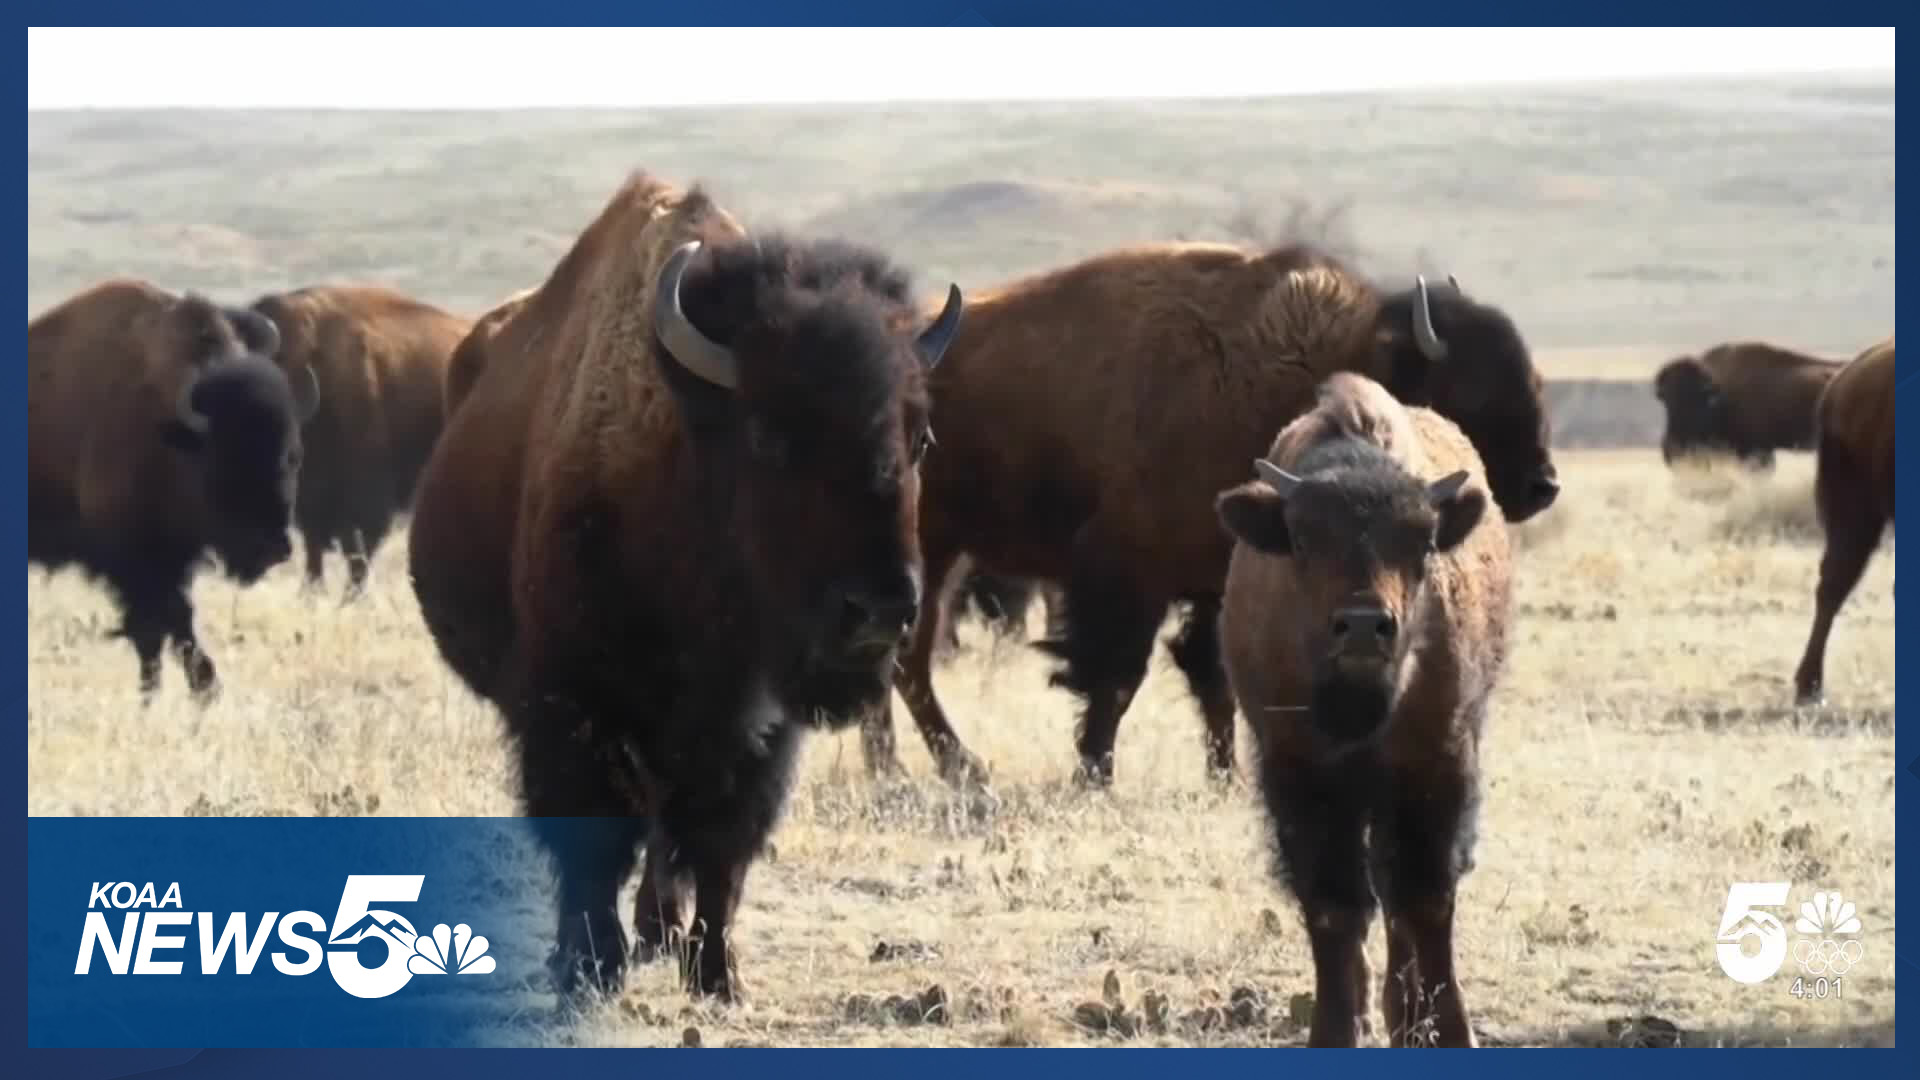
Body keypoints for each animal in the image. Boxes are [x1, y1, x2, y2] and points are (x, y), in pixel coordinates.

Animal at [27, 278, 320, 698]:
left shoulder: (172, 557)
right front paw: (199, 688)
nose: (273, 548)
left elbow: (161, 628)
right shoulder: (133, 559)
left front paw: (173, 692)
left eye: (293, 456)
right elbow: (165, 621)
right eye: (225, 462)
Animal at [406, 171, 964, 1002]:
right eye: (769, 436)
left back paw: (662, 930)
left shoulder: (756, 727)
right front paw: (588, 965)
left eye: (920, 437)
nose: (877, 611)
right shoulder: (574, 706)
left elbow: (721, 844)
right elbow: (595, 829)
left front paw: (717, 973)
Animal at [865, 245, 1557, 786]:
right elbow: (1117, 677)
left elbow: (1214, 677)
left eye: (1532, 380)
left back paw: (913, 768)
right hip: (929, 555)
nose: (1543, 484)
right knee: (906, 661)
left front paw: (1226, 776)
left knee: (901, 661)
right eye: (1468, 392)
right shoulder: (1128, 575)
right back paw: (952, 767)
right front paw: (1096, 773)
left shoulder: (1215, 580)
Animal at [1216, 373, 1513, 1048]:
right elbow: (1334, 908)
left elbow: (1426, 901)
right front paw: (1335, 1029)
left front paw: (1448, 1030)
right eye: (1302, 539)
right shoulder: (1300, 776)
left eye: (1424, 541)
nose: (1361, 626)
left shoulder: (1438, 767)